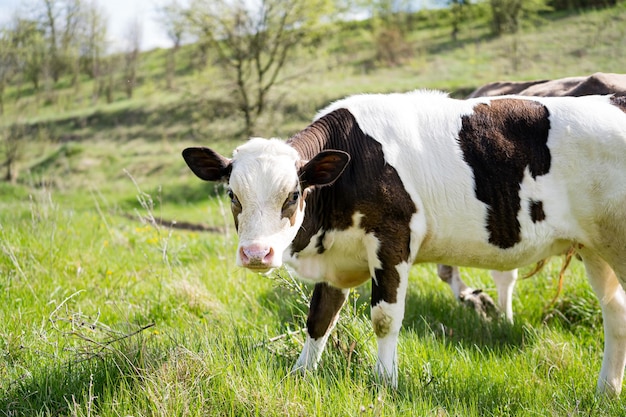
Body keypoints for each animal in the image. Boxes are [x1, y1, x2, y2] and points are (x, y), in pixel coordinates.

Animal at [182, 90, 624, 394]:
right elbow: (319, 316)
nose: (256, 253)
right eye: (232, 194)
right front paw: (301, 374)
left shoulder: (392, 241)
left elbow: (384, 318)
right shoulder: (336, 258)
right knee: (615, 310)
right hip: (595, 247)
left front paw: (385, 381)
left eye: (292, 195)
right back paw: (606, 390)